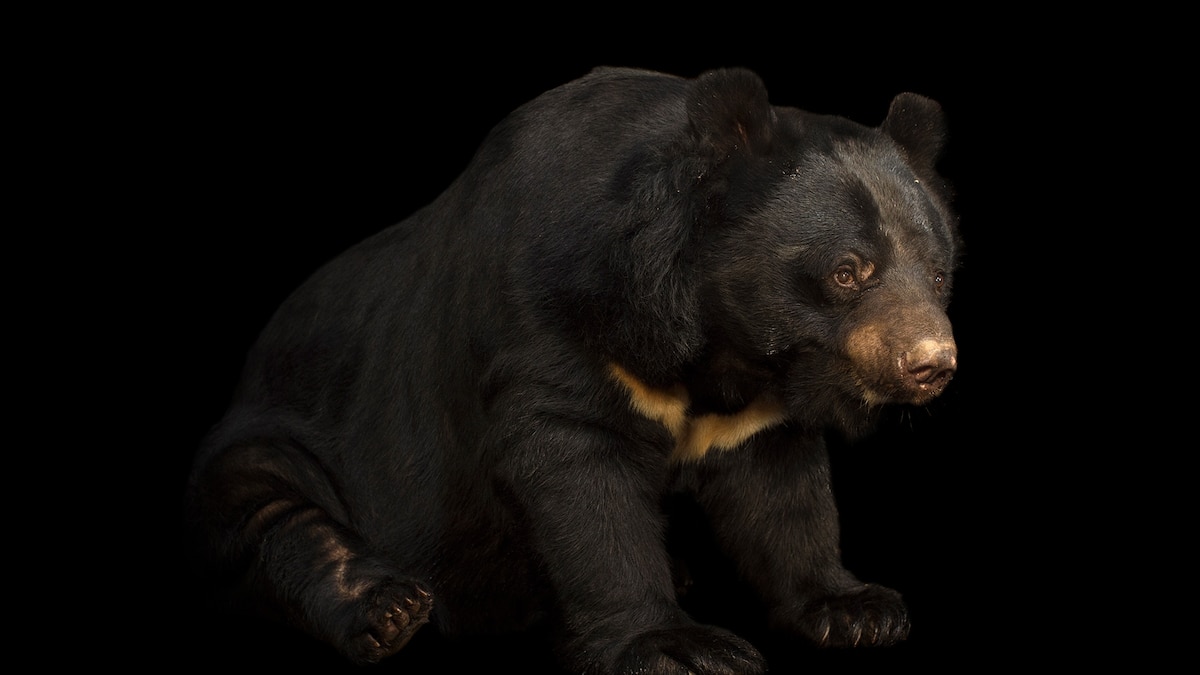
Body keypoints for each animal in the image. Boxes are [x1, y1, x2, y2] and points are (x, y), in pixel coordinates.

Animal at [184, 66, 959, 674]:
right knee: (276, 515)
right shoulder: (550, 317)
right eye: (847, 271)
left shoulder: (756, 396)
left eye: (938, 272)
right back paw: (389, 606)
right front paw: (679, 645)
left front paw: (858, 608)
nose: (933, 364)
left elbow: (783, 492)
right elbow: (581, 475)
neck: (711, 342)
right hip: (278, 440)